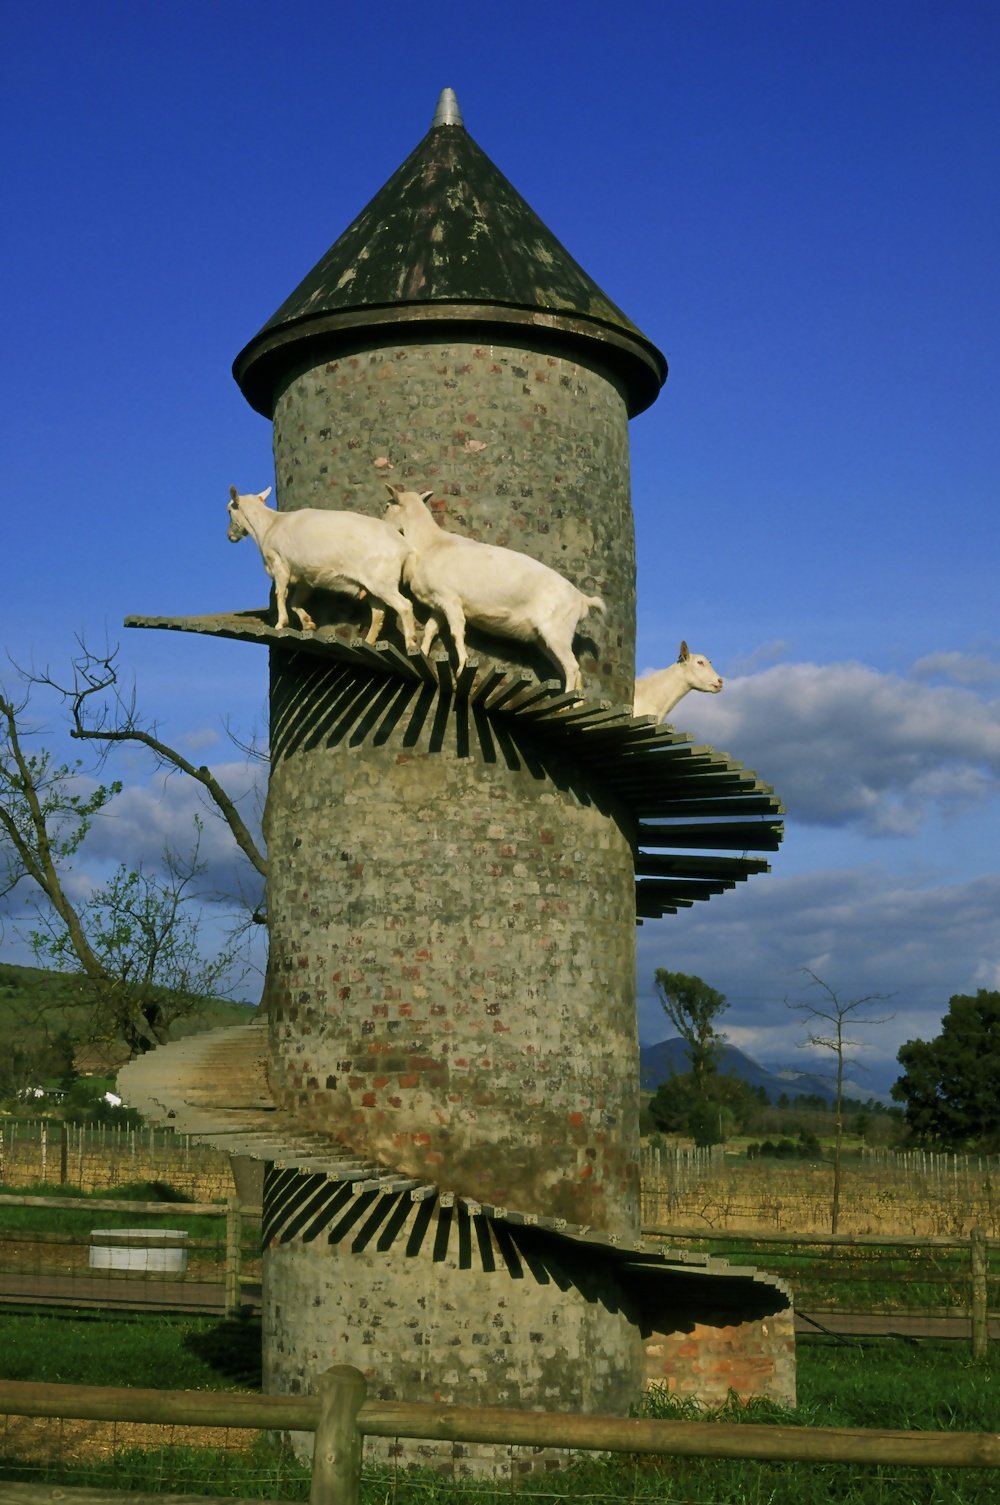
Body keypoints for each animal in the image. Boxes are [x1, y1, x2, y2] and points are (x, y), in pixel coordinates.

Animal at [227, 485, 418, 649]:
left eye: (229, 510)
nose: (229, 536)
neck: (269, 524)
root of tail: (404, 546)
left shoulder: (279, 564)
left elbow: (281, 594)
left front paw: (281, 623)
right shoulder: (304, 579)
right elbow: (295, 601)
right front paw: (308, 623)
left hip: (382, 581)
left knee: (404, 605)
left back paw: (411, 642)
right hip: (372, 586)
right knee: (379, 612)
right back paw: (369, 641)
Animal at [383, 486, 605, 690]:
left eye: (387, 506)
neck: (430, 543)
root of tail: (582, 598)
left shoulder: (451, 599)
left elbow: (456, 633)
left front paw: (462, 667)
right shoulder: (439, 604)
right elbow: (430, 630)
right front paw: (422, 652)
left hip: (557, 633)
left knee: (573, 668)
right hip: (547, 640)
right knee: (571, 671)